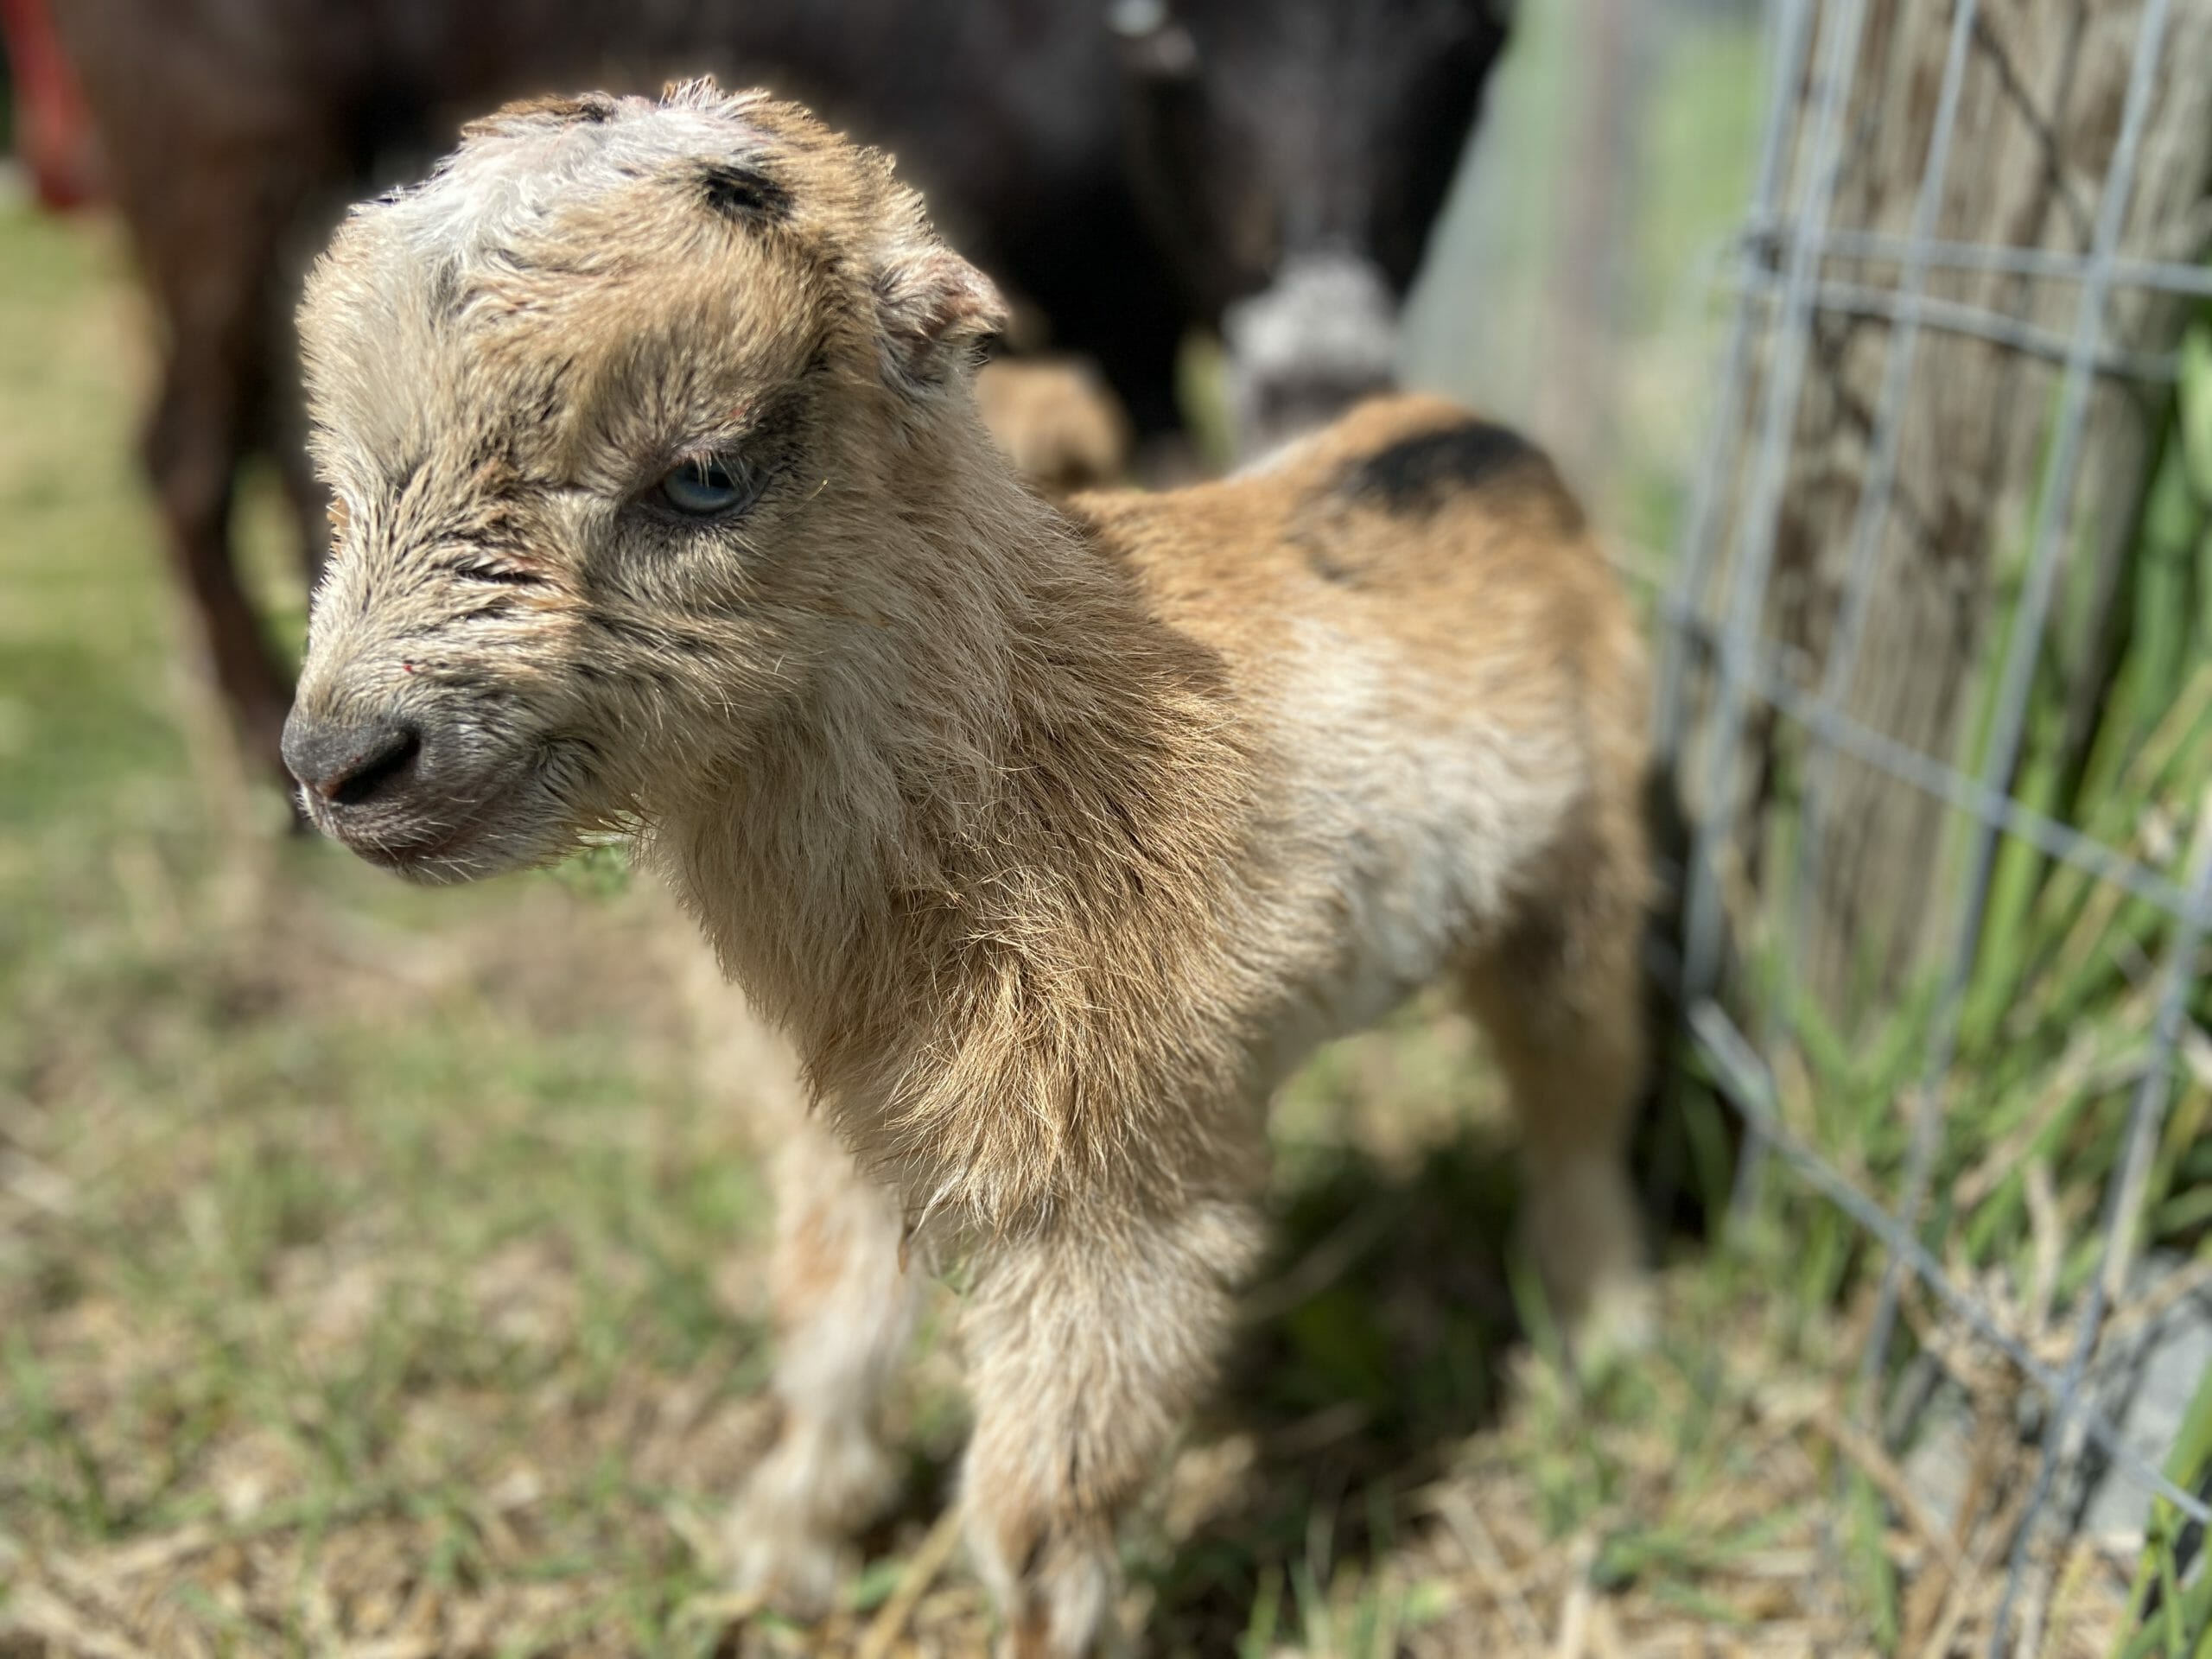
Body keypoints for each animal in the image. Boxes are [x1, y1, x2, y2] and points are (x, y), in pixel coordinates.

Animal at [282, 83, 1650, 1658]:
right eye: (341, 481)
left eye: (705, 476)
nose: (340, 761)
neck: (1020, 742)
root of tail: (1474, 432)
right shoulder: (857, 1113)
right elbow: (832, 1333)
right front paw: (784, 1550)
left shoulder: (1120, 1178)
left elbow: (1041, 1502)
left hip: (1581, 885)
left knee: (1577, 1102)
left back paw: (1604, 1341)